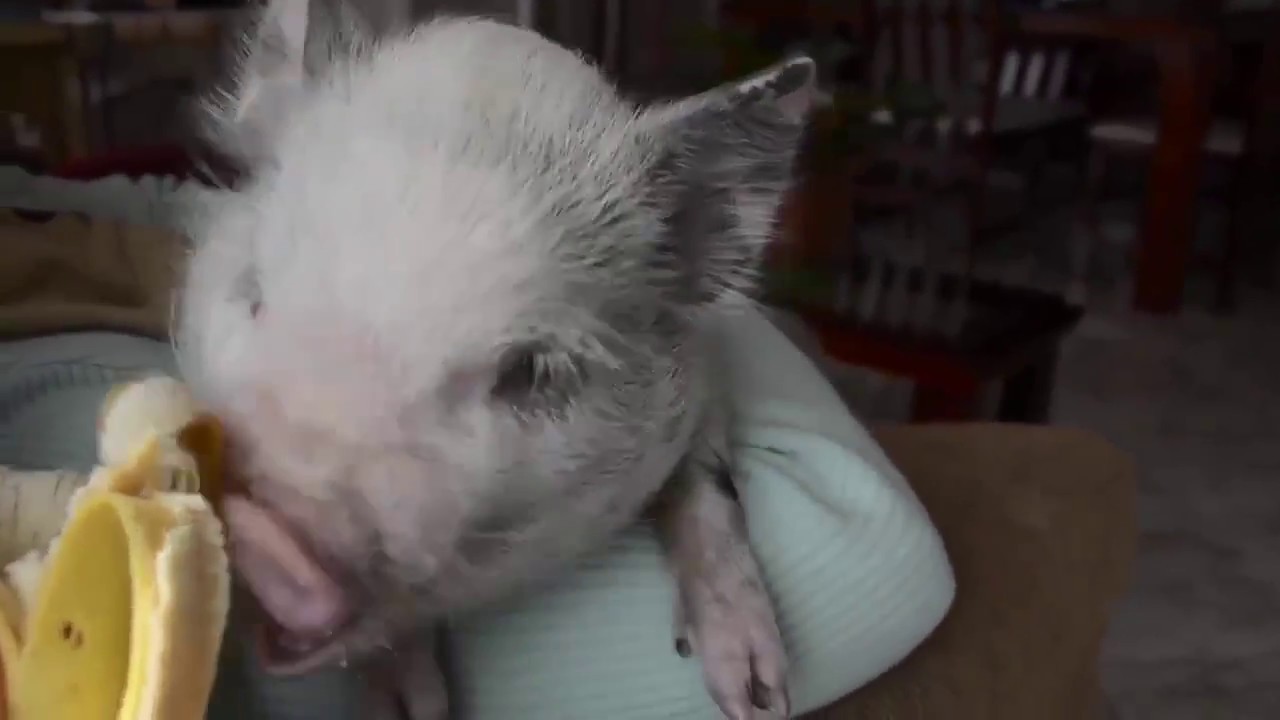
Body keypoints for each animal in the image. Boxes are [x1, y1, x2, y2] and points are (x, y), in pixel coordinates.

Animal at [174, 1, 817, 718]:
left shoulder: (705, 378)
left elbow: (709, 483)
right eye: (254, 291)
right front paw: (412, 704)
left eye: (529, 373)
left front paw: (760, 698)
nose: (271, 523)